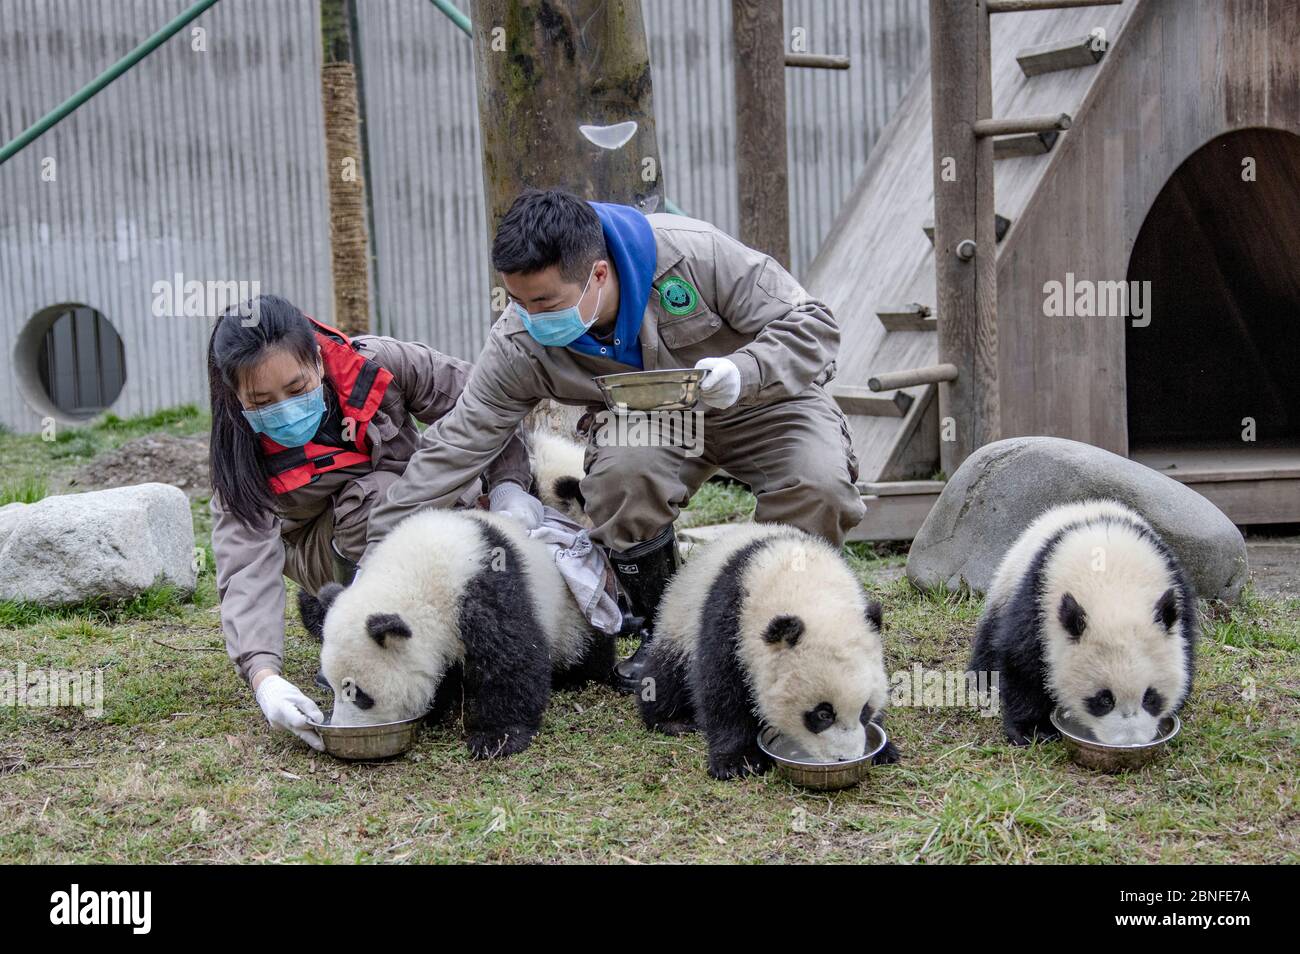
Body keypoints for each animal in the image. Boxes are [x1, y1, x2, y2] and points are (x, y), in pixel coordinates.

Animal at [300, 508, 613, 759]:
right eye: (333, 687)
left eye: (359, 694)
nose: (344, 727)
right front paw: (438, 709)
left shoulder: (480, 589)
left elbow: (512, 659)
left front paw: (496, 737)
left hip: (569, 614)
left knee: (582, 648)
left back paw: (579, 675)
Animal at [638, 523, 899, 779]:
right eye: (823, 714)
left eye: (865, 710)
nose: (846, 758)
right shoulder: (731, 616)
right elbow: (721, 688)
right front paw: (737, 762)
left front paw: (884, 750)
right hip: (680, 622)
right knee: (665, 676)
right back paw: (673, 720)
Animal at [969, 499, 1196, 747]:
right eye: (1104, 700)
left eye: (1150, 697)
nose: (1129, 741)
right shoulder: (1038, 600)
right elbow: (1022, 660)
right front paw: (1032, 729)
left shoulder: (1179, 600)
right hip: (1008, 581)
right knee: (989, 639)